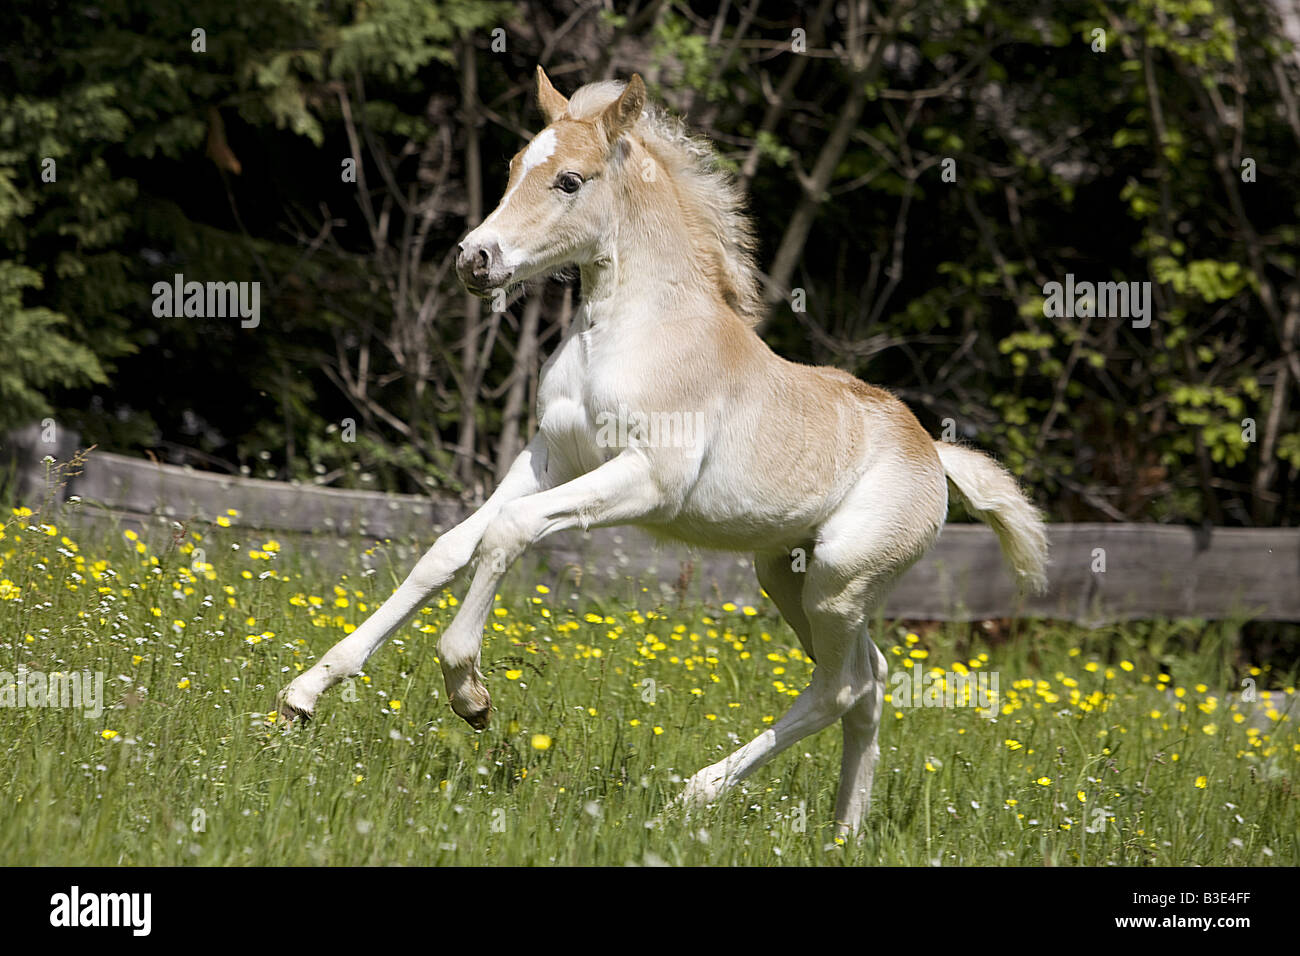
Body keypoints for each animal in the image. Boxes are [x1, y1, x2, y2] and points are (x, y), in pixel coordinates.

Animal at [278, 67, 1048, 835]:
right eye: (513, 166)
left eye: (569, 180)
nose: (475, 258)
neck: (627, 330)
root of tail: (934, 454)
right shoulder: (548, 458)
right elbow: (446, 550)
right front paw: (303, 695)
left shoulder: (647, 480)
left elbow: (510, 531)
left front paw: (468, 692)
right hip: (788, 576)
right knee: (872, 681)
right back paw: (842, 833)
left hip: (838, 581)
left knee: (842, 686)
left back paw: (696, 794)